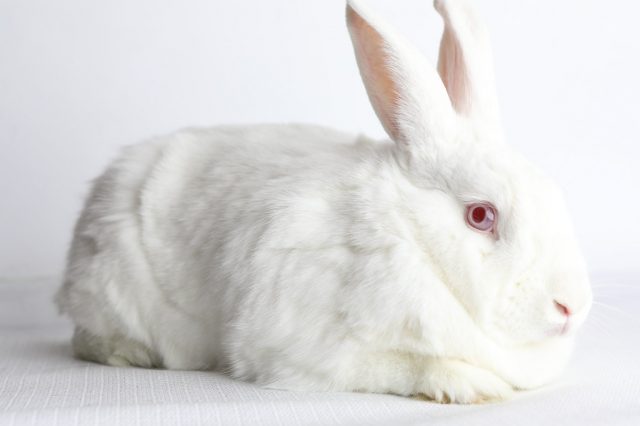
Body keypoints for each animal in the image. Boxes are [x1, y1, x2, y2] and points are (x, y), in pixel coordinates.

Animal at [56, 0, 592, 404]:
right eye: (481, 215)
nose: (571, 306)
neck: (410, 237)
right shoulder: (307, 350)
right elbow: (400, 365)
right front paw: (468, 384)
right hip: (112, 292)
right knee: (89, 338)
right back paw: (133, 355)